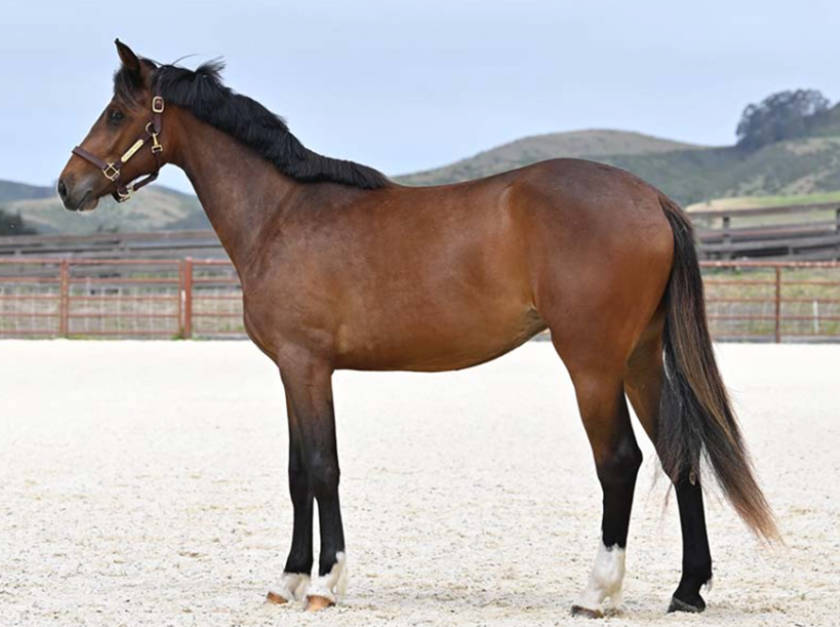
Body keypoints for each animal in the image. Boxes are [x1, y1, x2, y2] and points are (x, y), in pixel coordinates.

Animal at [58, 40, 777, 616]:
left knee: (620, 461)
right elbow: (296, 472)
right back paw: (687, 591)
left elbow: (321, 467)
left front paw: (326, 584)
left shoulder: (306, 365)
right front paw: (287, 580)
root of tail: (648, 197)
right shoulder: (293, 371)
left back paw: (597, 592)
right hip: (638, 359)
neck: (282, 214)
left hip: (593, 364)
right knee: (679, 454)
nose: (69, 185)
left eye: (118, 113)